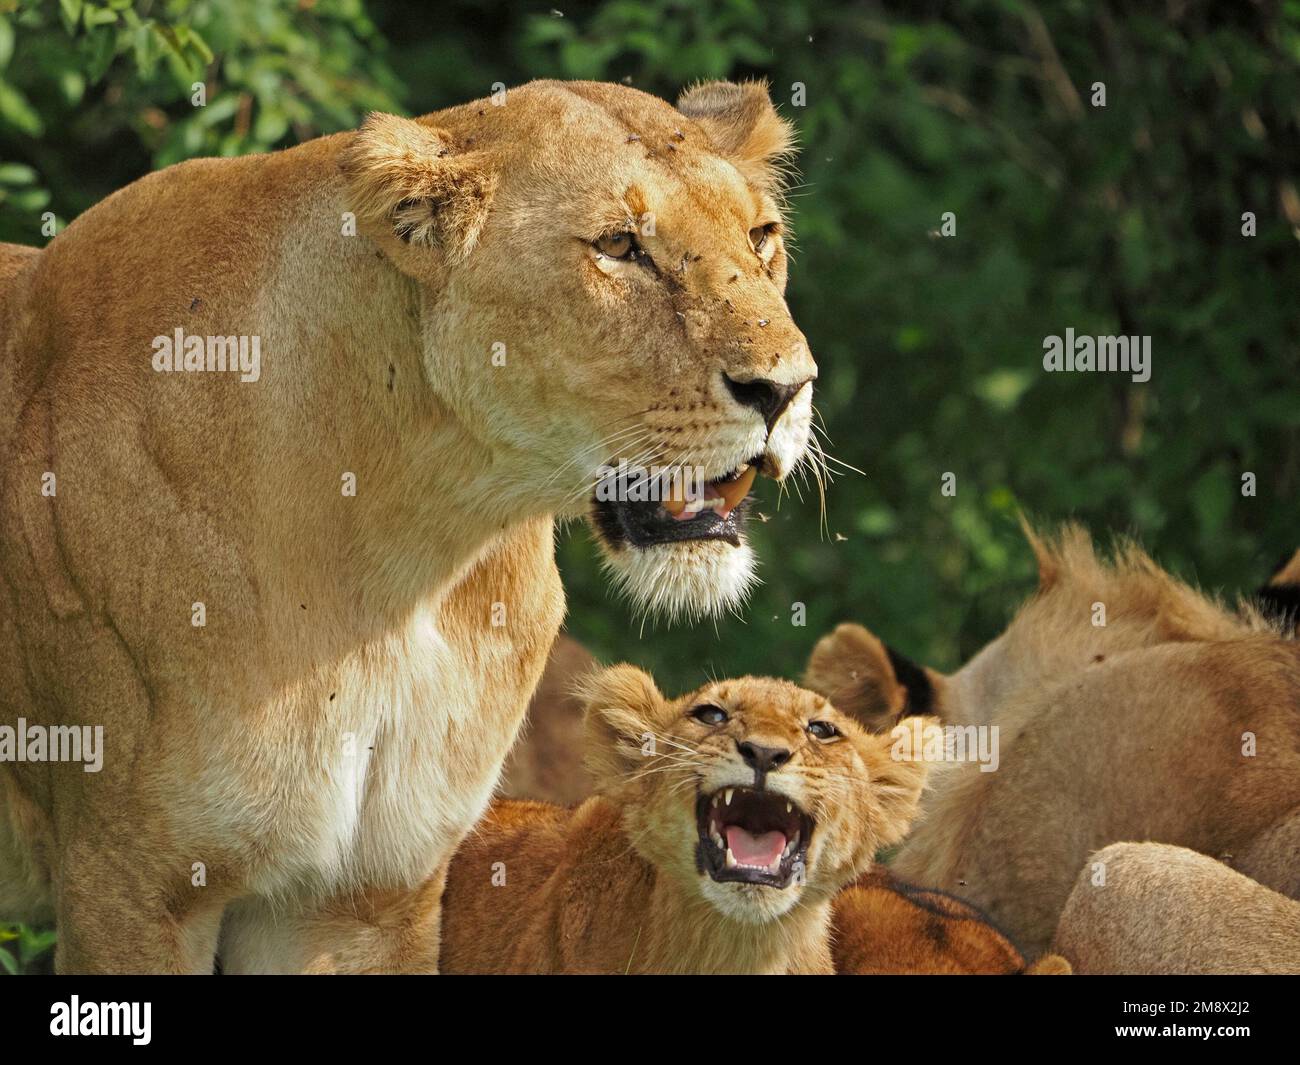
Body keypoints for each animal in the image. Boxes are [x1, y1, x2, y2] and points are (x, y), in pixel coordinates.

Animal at [0, 79, 817, 973]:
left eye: (762, 237)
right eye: (619, 246)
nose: (786, 388)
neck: (414, 557)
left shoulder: (364, 897)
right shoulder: (129, 885)